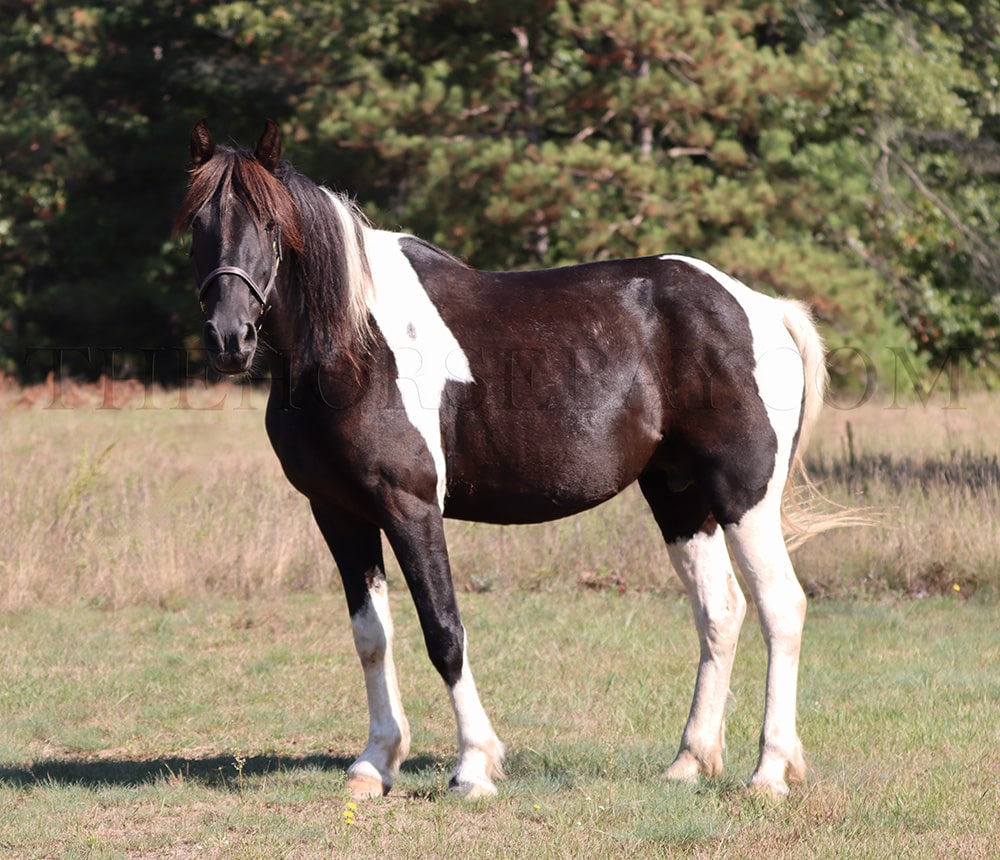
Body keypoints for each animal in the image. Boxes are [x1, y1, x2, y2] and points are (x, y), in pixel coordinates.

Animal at [176, 118, 830, 800]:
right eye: (196, 221)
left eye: (270, 224)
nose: (230, 338)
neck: (354, 345)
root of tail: (761, 307)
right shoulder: (338, 513)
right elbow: (371, 636)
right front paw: (374, 763)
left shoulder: (410, 507)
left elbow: (444, 631)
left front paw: (473, 766)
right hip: (680, 497)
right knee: (719, 610)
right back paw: (689, 761)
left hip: (743, 496)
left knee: (780, 607)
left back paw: (769, 772)